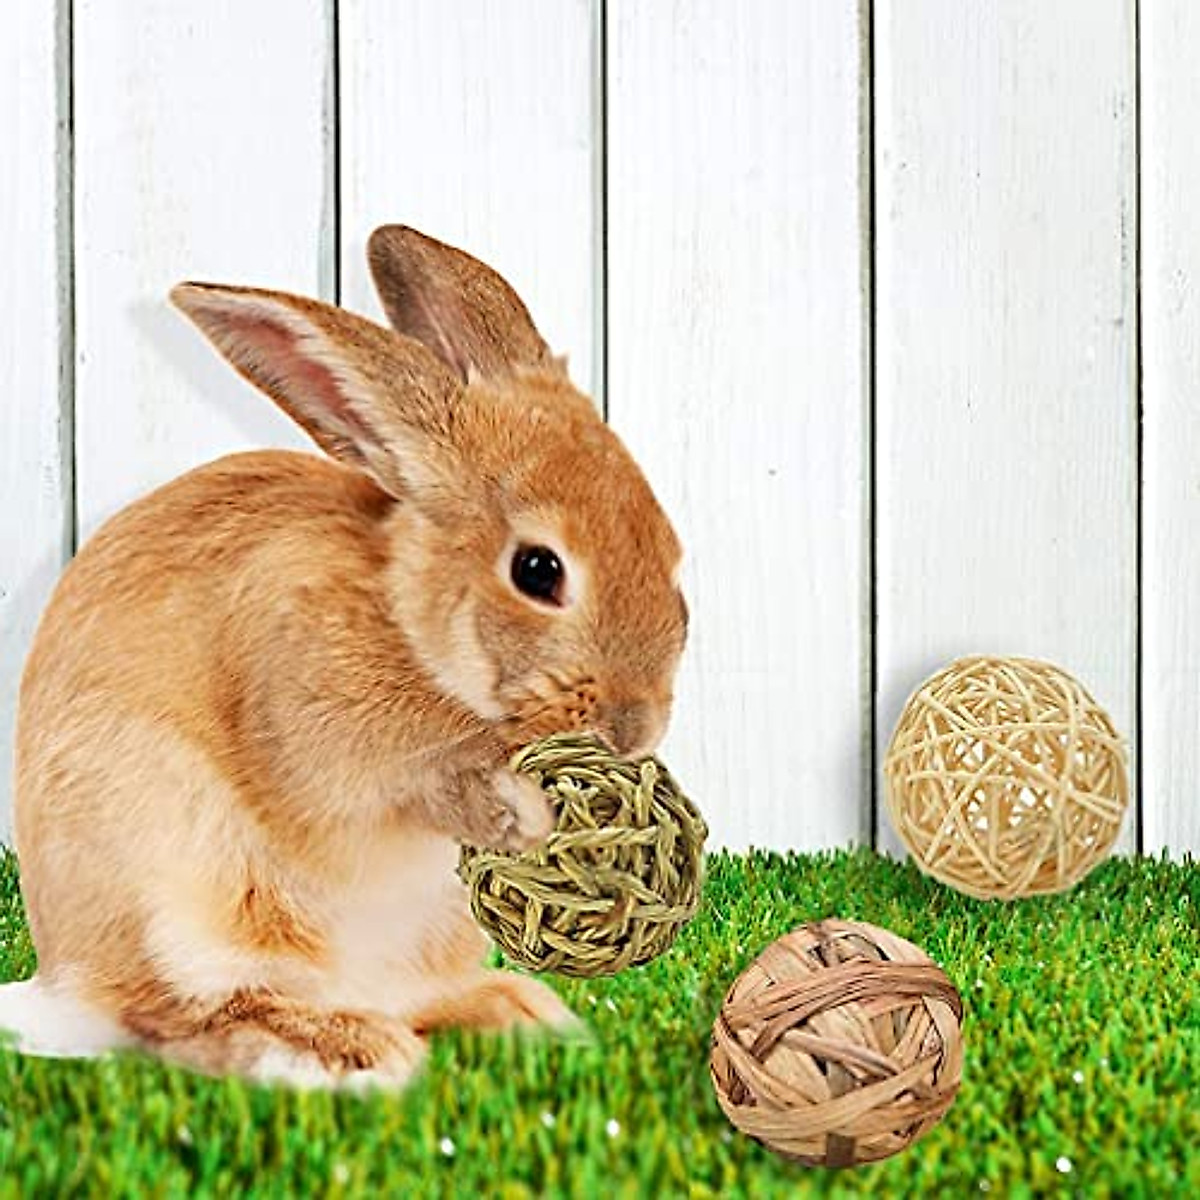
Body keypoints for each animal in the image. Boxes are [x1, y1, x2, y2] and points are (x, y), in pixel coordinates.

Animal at [0, 226, 688, 1090]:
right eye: (538, 571)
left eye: (669, 547)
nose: (638, 727)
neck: (410, 627)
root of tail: (62, 979)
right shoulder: (316, 733)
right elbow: (402, 788)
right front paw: (522, 812)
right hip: (176, 892)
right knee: (180, 1019)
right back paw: (347, 1049)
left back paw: (521, 1014)